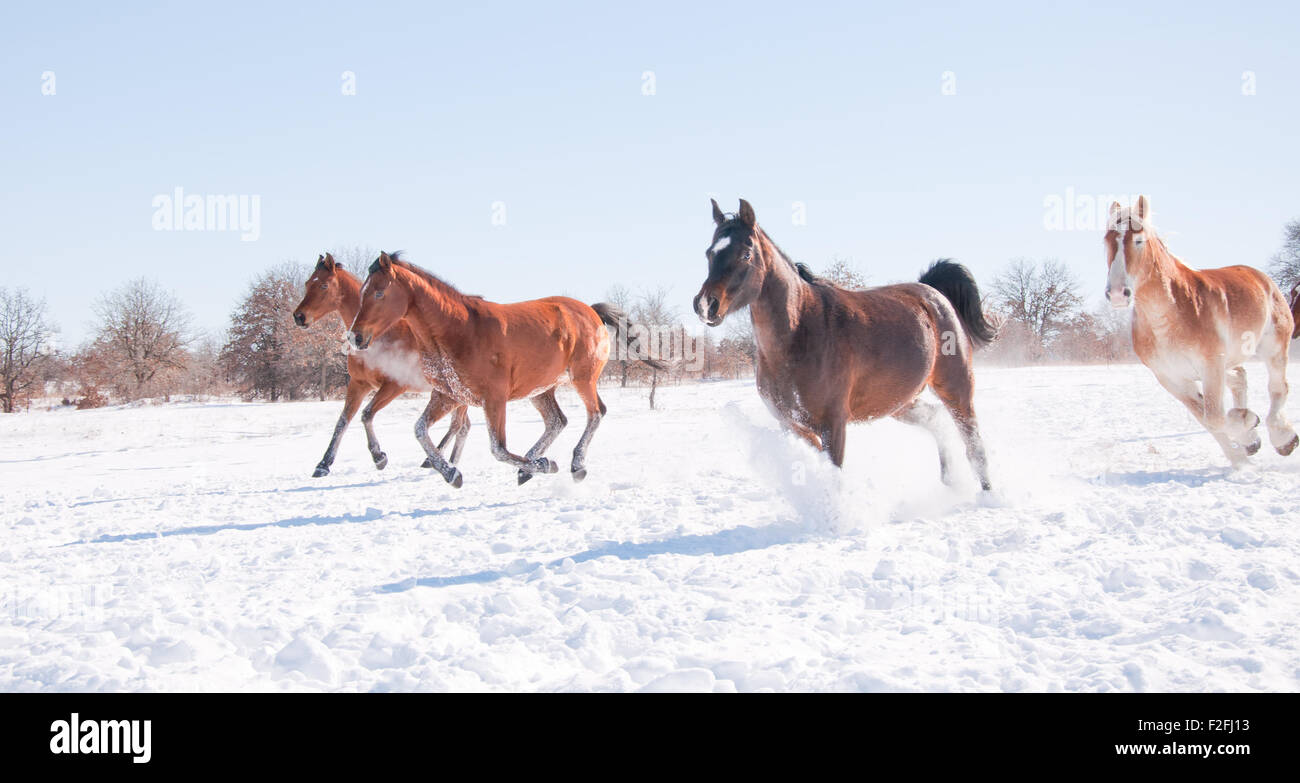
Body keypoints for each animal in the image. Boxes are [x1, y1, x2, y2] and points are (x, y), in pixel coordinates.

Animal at [292, 253, 470, 477]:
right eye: (308, 283)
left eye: (323, 285)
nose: (299, 316)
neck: (381, 338)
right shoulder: (359, 385)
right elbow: (342, 422)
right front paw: (323, 464)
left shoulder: (394, 386)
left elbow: (366, 414)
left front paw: (379, 457)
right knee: (463, 426)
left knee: (459, 425)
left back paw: (438, 462)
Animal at [347, 251, 664, 487]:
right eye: (362, 292)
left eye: (378, 293)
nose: (355, 337)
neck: (456, 331)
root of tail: (590, 310)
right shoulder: (448, 396)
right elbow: (420, 430)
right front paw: (449, 472)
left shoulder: (493, 398)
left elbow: (498, 449)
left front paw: (546, 465)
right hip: (541, 389)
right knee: (557, 421)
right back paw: (528, 468)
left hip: (583, 378)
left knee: (596, 413)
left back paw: (575, 465)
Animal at [692, 199, 998, 489]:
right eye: (709, 253)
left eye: (746, 253)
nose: (706, 305)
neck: (799, 333)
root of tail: (933, 293)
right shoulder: (793, 426)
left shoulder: (833, 425)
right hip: (898, 402)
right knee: (936, 421)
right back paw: (949, 481)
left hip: (956, 388)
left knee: (974, 445)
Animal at [1103, 196, 1297, 464]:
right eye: (1107, 240)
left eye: (1138, 240)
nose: (1117, 294)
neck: (1168, 320)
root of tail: (1262, 278)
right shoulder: (1170, 377)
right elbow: (1206, 419)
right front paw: (1243, 448)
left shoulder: (1210, 365)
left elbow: (1214, 416)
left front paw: (1248, 428)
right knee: (1239, 378)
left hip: (1273, 348)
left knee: (1278, 388)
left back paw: (1284, 439)